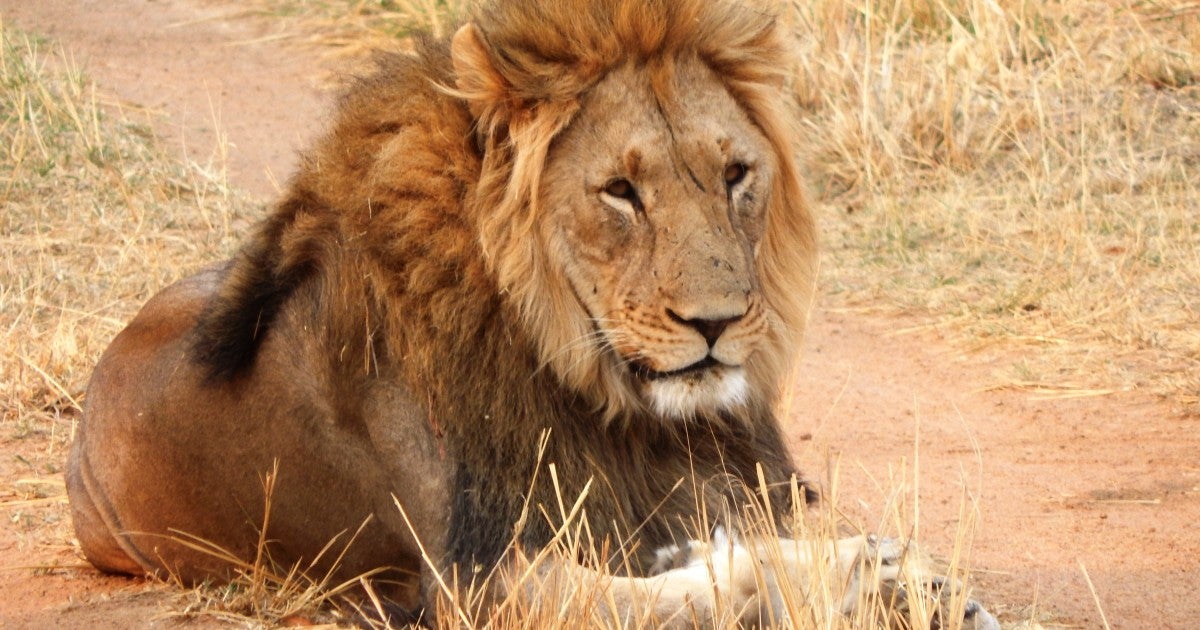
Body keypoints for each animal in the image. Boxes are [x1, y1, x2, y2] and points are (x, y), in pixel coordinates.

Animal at [66, 0, 997, 627]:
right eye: (620, 192)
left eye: (736, 174)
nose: (719, 323)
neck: (603, 399)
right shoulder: (474, 585)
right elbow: (683, 593)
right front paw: (870, 579)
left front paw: (917, 582)